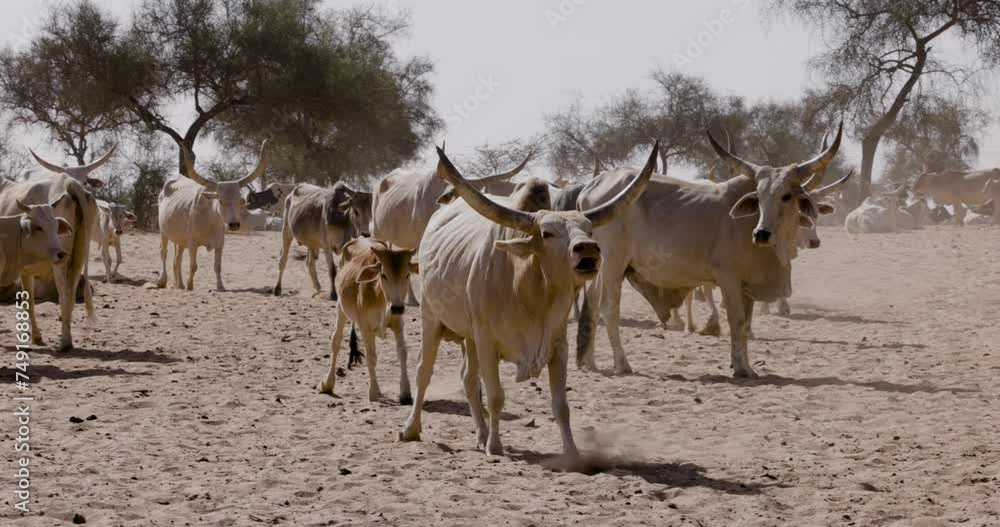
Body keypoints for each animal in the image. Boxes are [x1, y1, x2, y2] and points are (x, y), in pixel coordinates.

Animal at [0, 173, 97, 350]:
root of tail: (71, 183)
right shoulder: (25, 270)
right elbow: (28, 301)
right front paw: (36, 337)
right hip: (79, 256)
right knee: (70, 296)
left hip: (59, 263)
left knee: (64, 296)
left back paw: (64, 342)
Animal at [156, 141, 268, 291]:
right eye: (220, 200)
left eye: (239, 200)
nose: (233, 224)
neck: (211, 219)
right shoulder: (192, 243)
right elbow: (193, 266)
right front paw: (190, 286)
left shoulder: (220, 243)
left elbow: (217, 266)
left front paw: (220, 286)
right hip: (163, 231)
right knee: (163, 252)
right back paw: (162, 280)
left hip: (180, 239)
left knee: (177, 259)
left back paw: (180, 284)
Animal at [317, 238, 417, 403]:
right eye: (384, 275)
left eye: (407, 275)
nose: (396, 307)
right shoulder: (365, 327)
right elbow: (371, 357)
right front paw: (374, 392)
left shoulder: (398, 324)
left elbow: (402, 353)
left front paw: (405, 393)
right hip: (341, 308)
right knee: (336, 341)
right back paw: (328, 383)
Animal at [398, 143, 658, 457]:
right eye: (546, 233)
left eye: (589, 229)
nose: (588, 249)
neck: (528, 292)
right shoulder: (487, 342)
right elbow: (496, 396)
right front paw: (495, 446)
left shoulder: (557, 346)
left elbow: (561, 405)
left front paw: (572, 452)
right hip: (431, 318)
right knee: (424, 371)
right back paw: (411, 429)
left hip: (469, 337)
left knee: (468, 379)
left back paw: (480, 433)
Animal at [577, 124, 844, 378]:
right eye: (758, 196)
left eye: (786, 195)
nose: (761, 234)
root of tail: (591, 187)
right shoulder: (728, 278)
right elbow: (736, 319)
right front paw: (741, 368)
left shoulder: (747, 286)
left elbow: (746, 324)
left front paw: (743, 363)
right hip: (614, 262)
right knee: (609, 306)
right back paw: (622, 363)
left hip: (602, 266)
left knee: (592, 301)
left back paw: (589, 362)